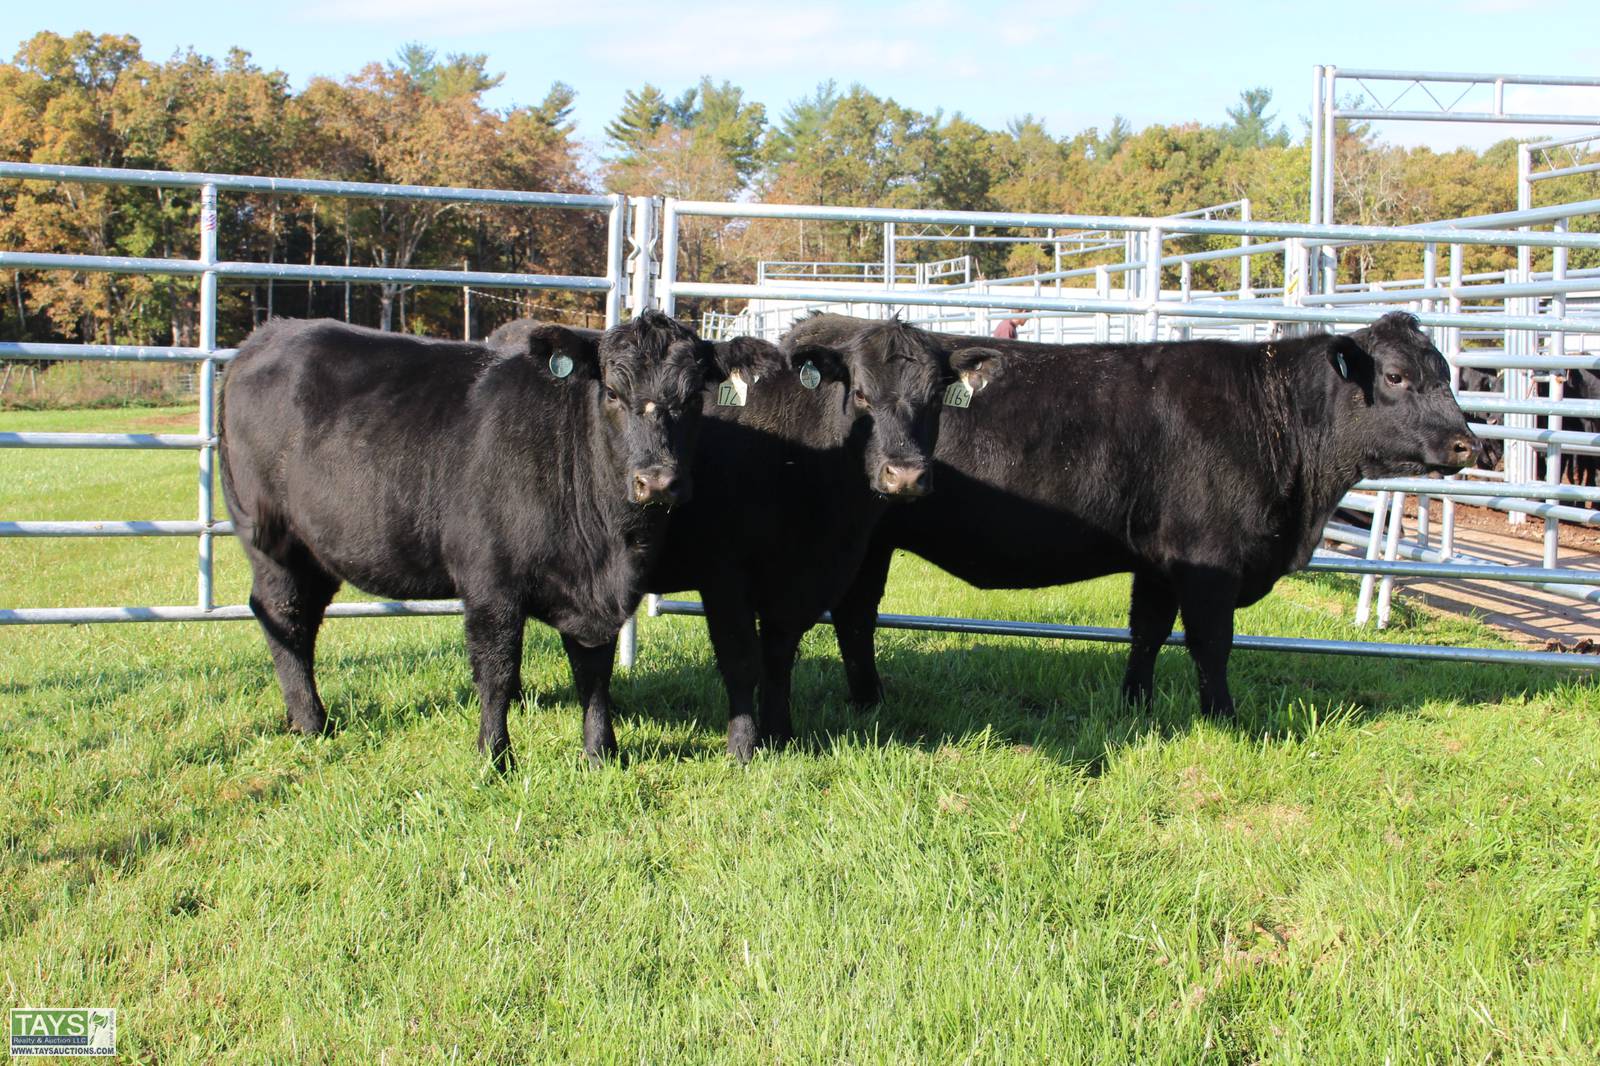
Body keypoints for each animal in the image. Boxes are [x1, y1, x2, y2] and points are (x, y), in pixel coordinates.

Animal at [220, 312, 770, 770]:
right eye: (613, 392)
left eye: (695, 396)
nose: (656, 481)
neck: (606, 549)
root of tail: (269, 334)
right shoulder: (490, 581)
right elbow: (497, 670)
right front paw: (495, 758)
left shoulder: (595, 593)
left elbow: (593, 671)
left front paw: (600, 753)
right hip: (272, 541)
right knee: (283, 616)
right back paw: (312, 722)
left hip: (314, 551)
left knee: (304, 615)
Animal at [488, 317, 1002, 762]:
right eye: (860, 393)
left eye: (935, 397)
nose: (906, 474)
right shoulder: (724, 573)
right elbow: (740, 658)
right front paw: (744, 747)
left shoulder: (798, 582)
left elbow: (778, 655)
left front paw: (782, 734)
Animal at [786, 311, 1478, 722]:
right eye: (1396, 376)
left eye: (1447, 371)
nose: (1470, 443)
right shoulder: (1209, 560)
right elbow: (1211, 642)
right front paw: (1225, 719)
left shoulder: (1160, 560)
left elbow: (1147, 631)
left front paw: (1136, 704)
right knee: (852, 614)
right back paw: (869, 701)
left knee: (855, 617)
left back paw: (870, 700)